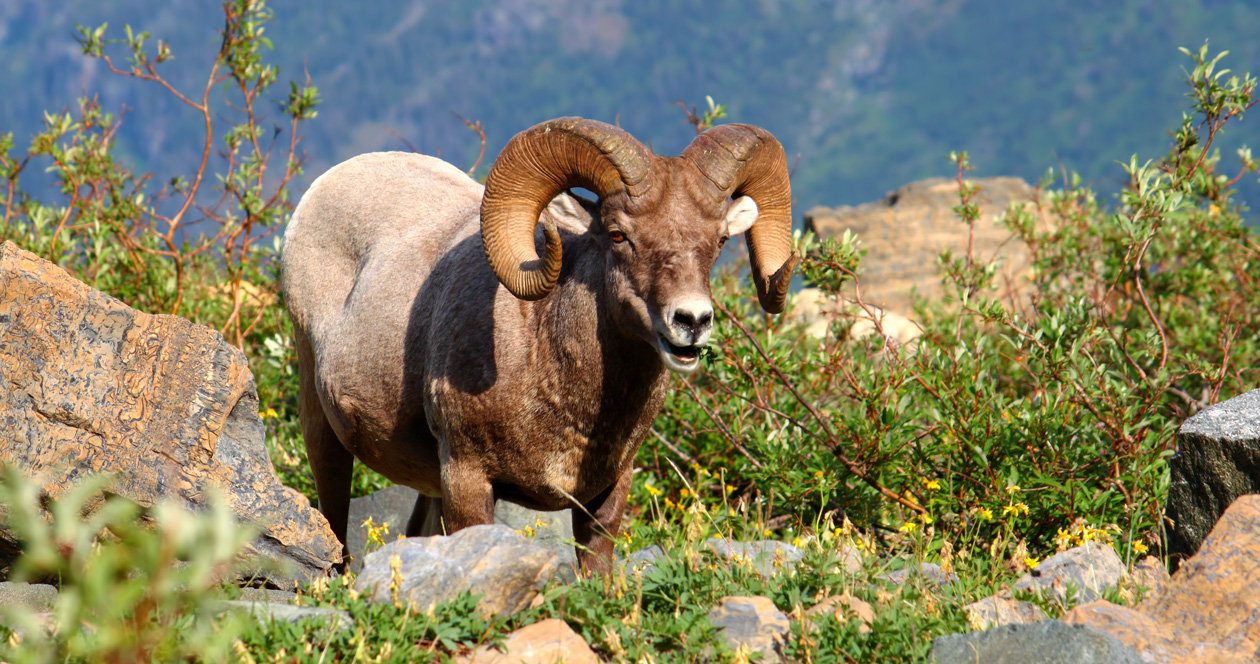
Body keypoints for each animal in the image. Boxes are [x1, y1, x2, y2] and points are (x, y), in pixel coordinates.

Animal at [281, 117, 798, 573]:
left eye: (720, 240)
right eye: (618, 234)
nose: (692, 320)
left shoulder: (608, 493)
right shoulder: (467, 478)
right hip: (321, 425)